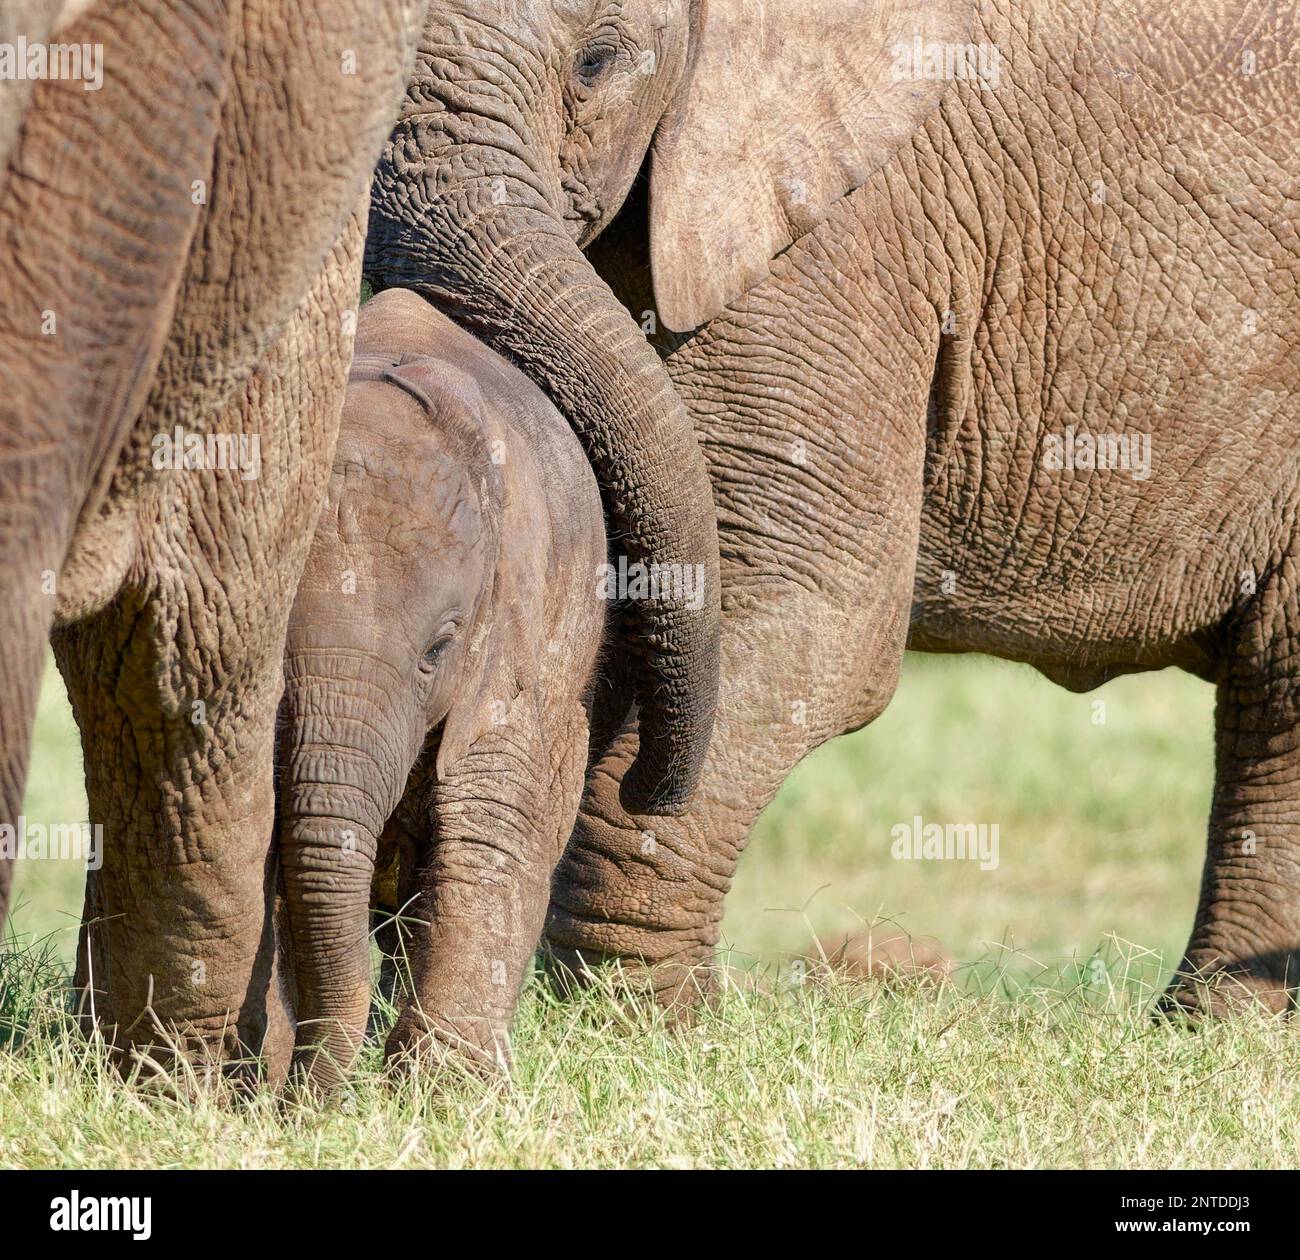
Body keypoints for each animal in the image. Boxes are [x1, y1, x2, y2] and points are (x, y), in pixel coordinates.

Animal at [364, 0, 1300, 1019]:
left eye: (597, 63)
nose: (658, 778)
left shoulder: (854, 236)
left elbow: (807, 613)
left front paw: (640, 1028)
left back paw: (1214, 1027)